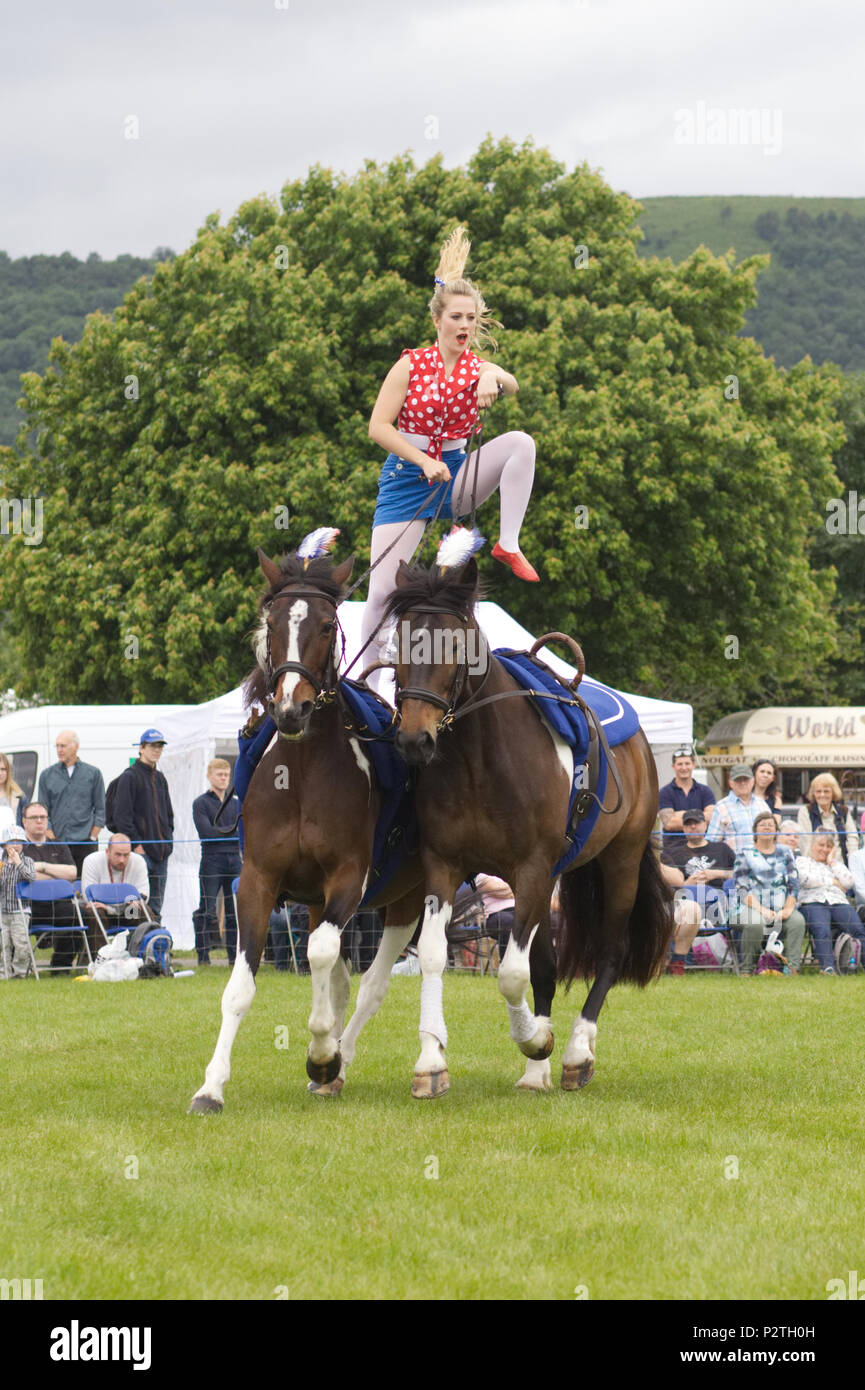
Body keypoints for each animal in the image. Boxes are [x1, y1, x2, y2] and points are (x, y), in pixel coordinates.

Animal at [188, 544, 427, 1113]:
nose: (290, 709)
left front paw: (322, 1054)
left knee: (377, 982)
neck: (300, 773)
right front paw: (211, 1087)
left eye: (323, 625)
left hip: (413, 898)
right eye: (272, 623)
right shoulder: (258, 882)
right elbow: (242, 987)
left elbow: (319, 954)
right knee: (341, 978)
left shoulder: (348, 880)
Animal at [385, 551, 673, 1095]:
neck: (479, 758)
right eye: (399, 641)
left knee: (608, 953)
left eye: (454, 643)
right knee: (545, 965)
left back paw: (577, 1052)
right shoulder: (445, 866)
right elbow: (436, 955)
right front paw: (431, 1062)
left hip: (618, 863)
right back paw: (537, 1073)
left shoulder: (533, 868)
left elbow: (511, 974)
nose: (414, 740)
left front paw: (537, 1039)